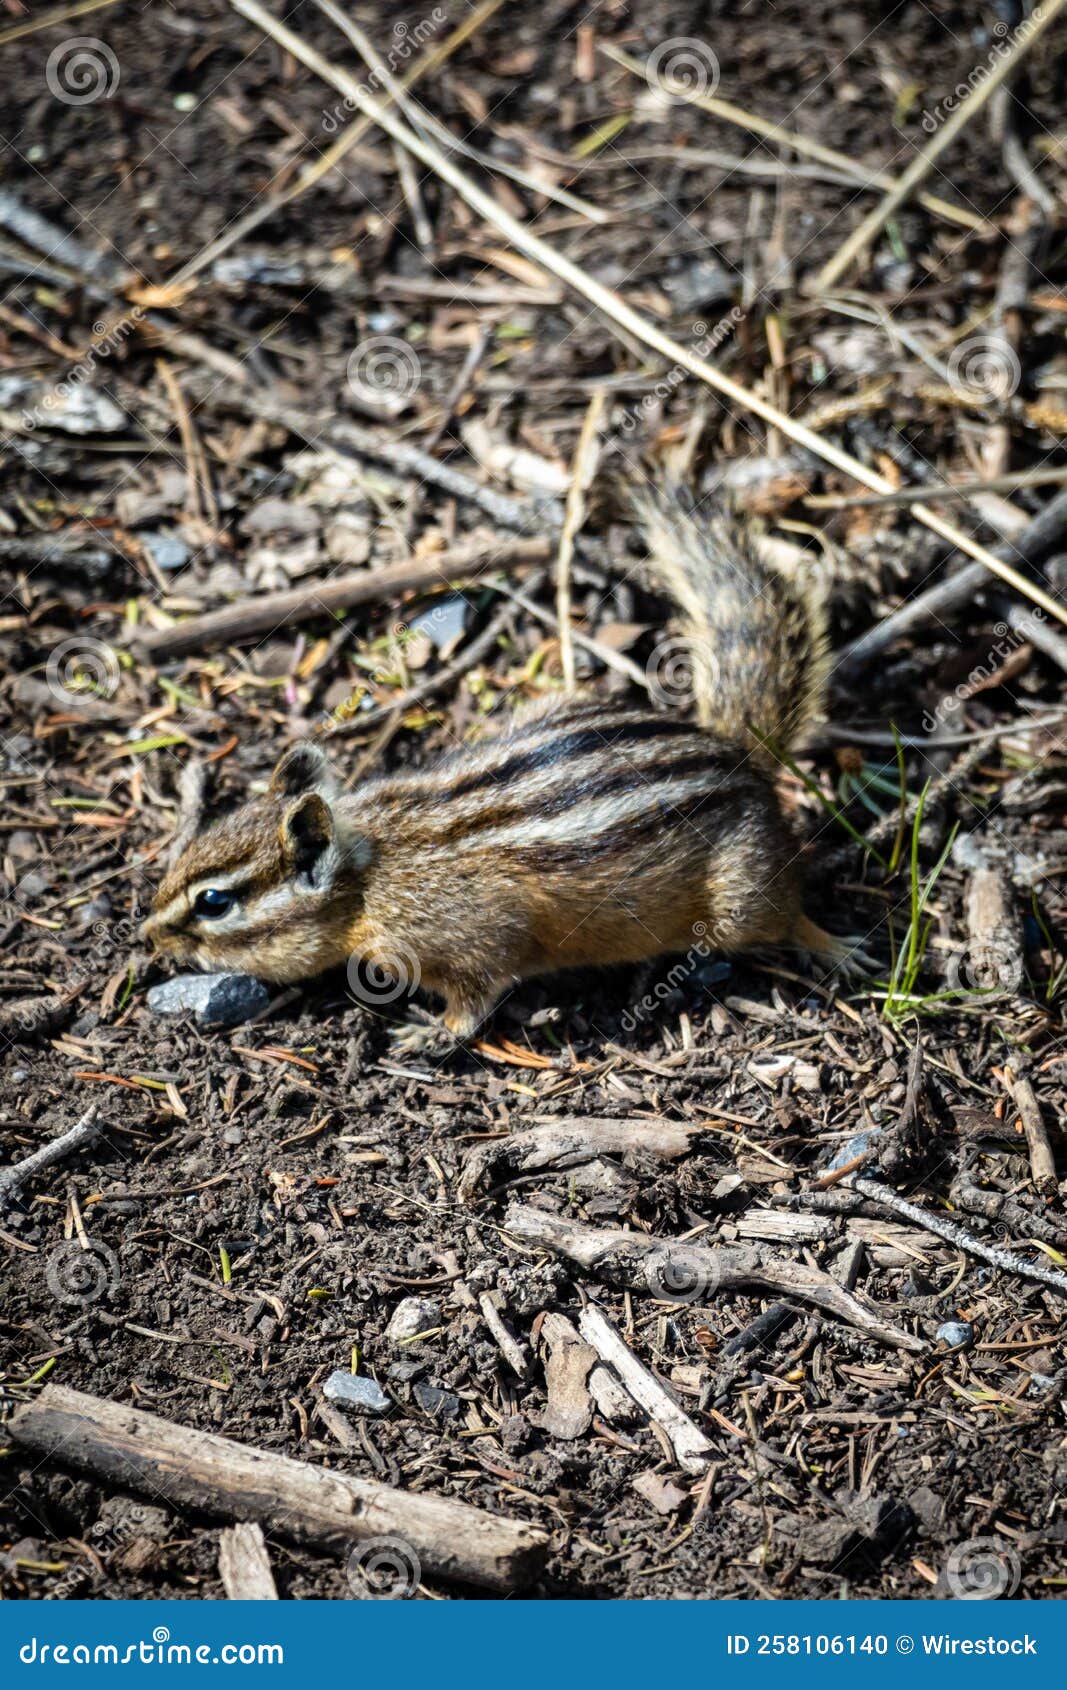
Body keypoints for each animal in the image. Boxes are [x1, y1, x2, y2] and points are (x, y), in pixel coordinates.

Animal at [143, 486, 845, 1038]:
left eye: (213, 903)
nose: (148, 936)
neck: (371, 875)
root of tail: (733, 749)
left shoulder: (468, 940)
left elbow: (478, 994)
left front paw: (431, 1033)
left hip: (741, 891)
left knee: (783, 911)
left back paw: (834, 946)